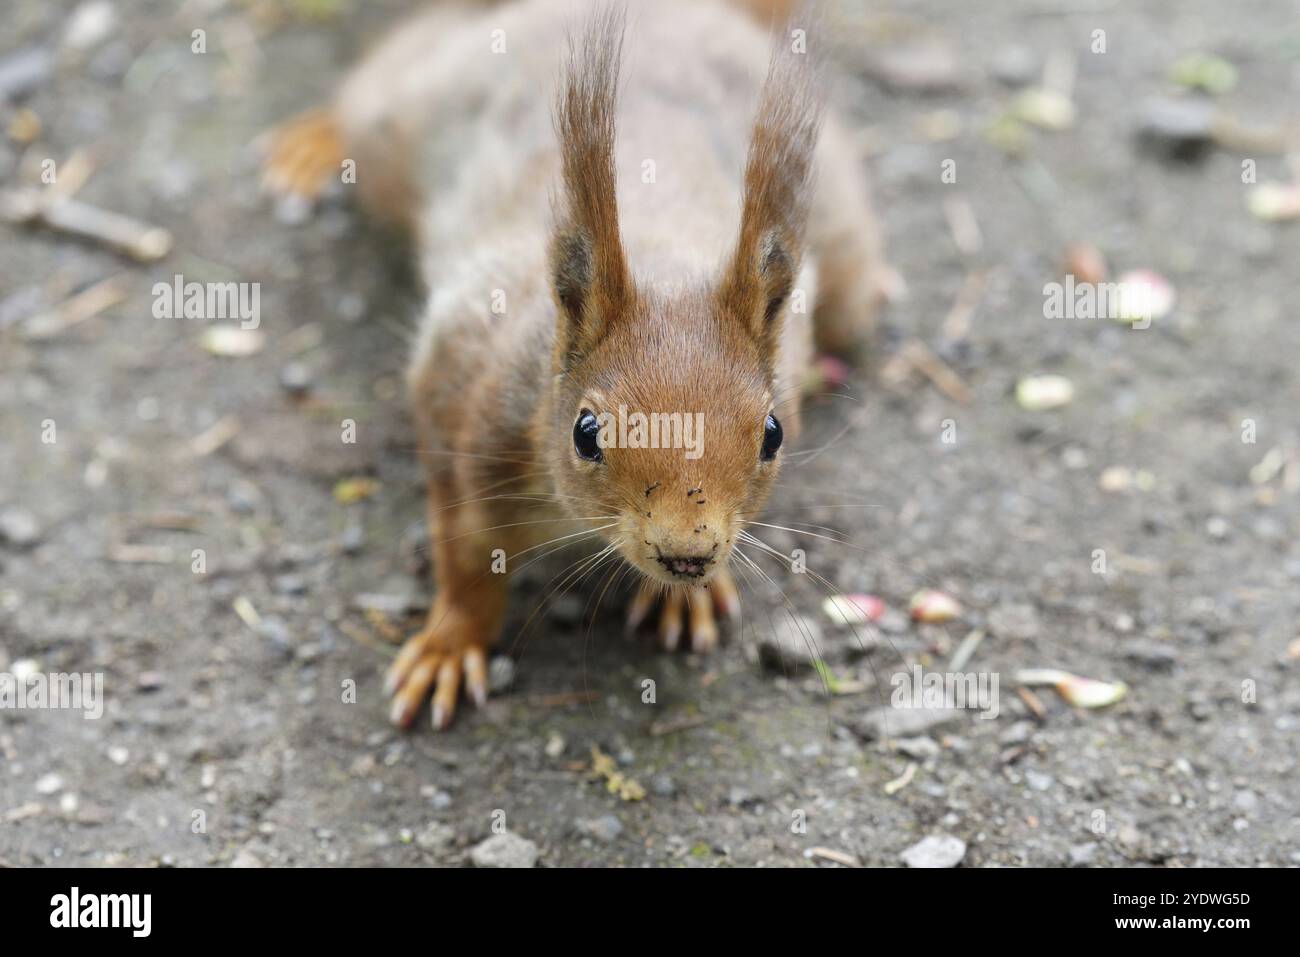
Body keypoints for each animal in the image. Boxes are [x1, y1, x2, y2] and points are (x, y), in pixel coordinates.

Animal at [262, 0, 887, 729]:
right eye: (586, 433)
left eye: (773, 434)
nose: (687, 554)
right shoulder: (460, 397)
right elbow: (464, 551)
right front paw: (449, 643)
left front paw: (692, 596)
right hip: (403, 122)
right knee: (387, 75)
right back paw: (314, 142)